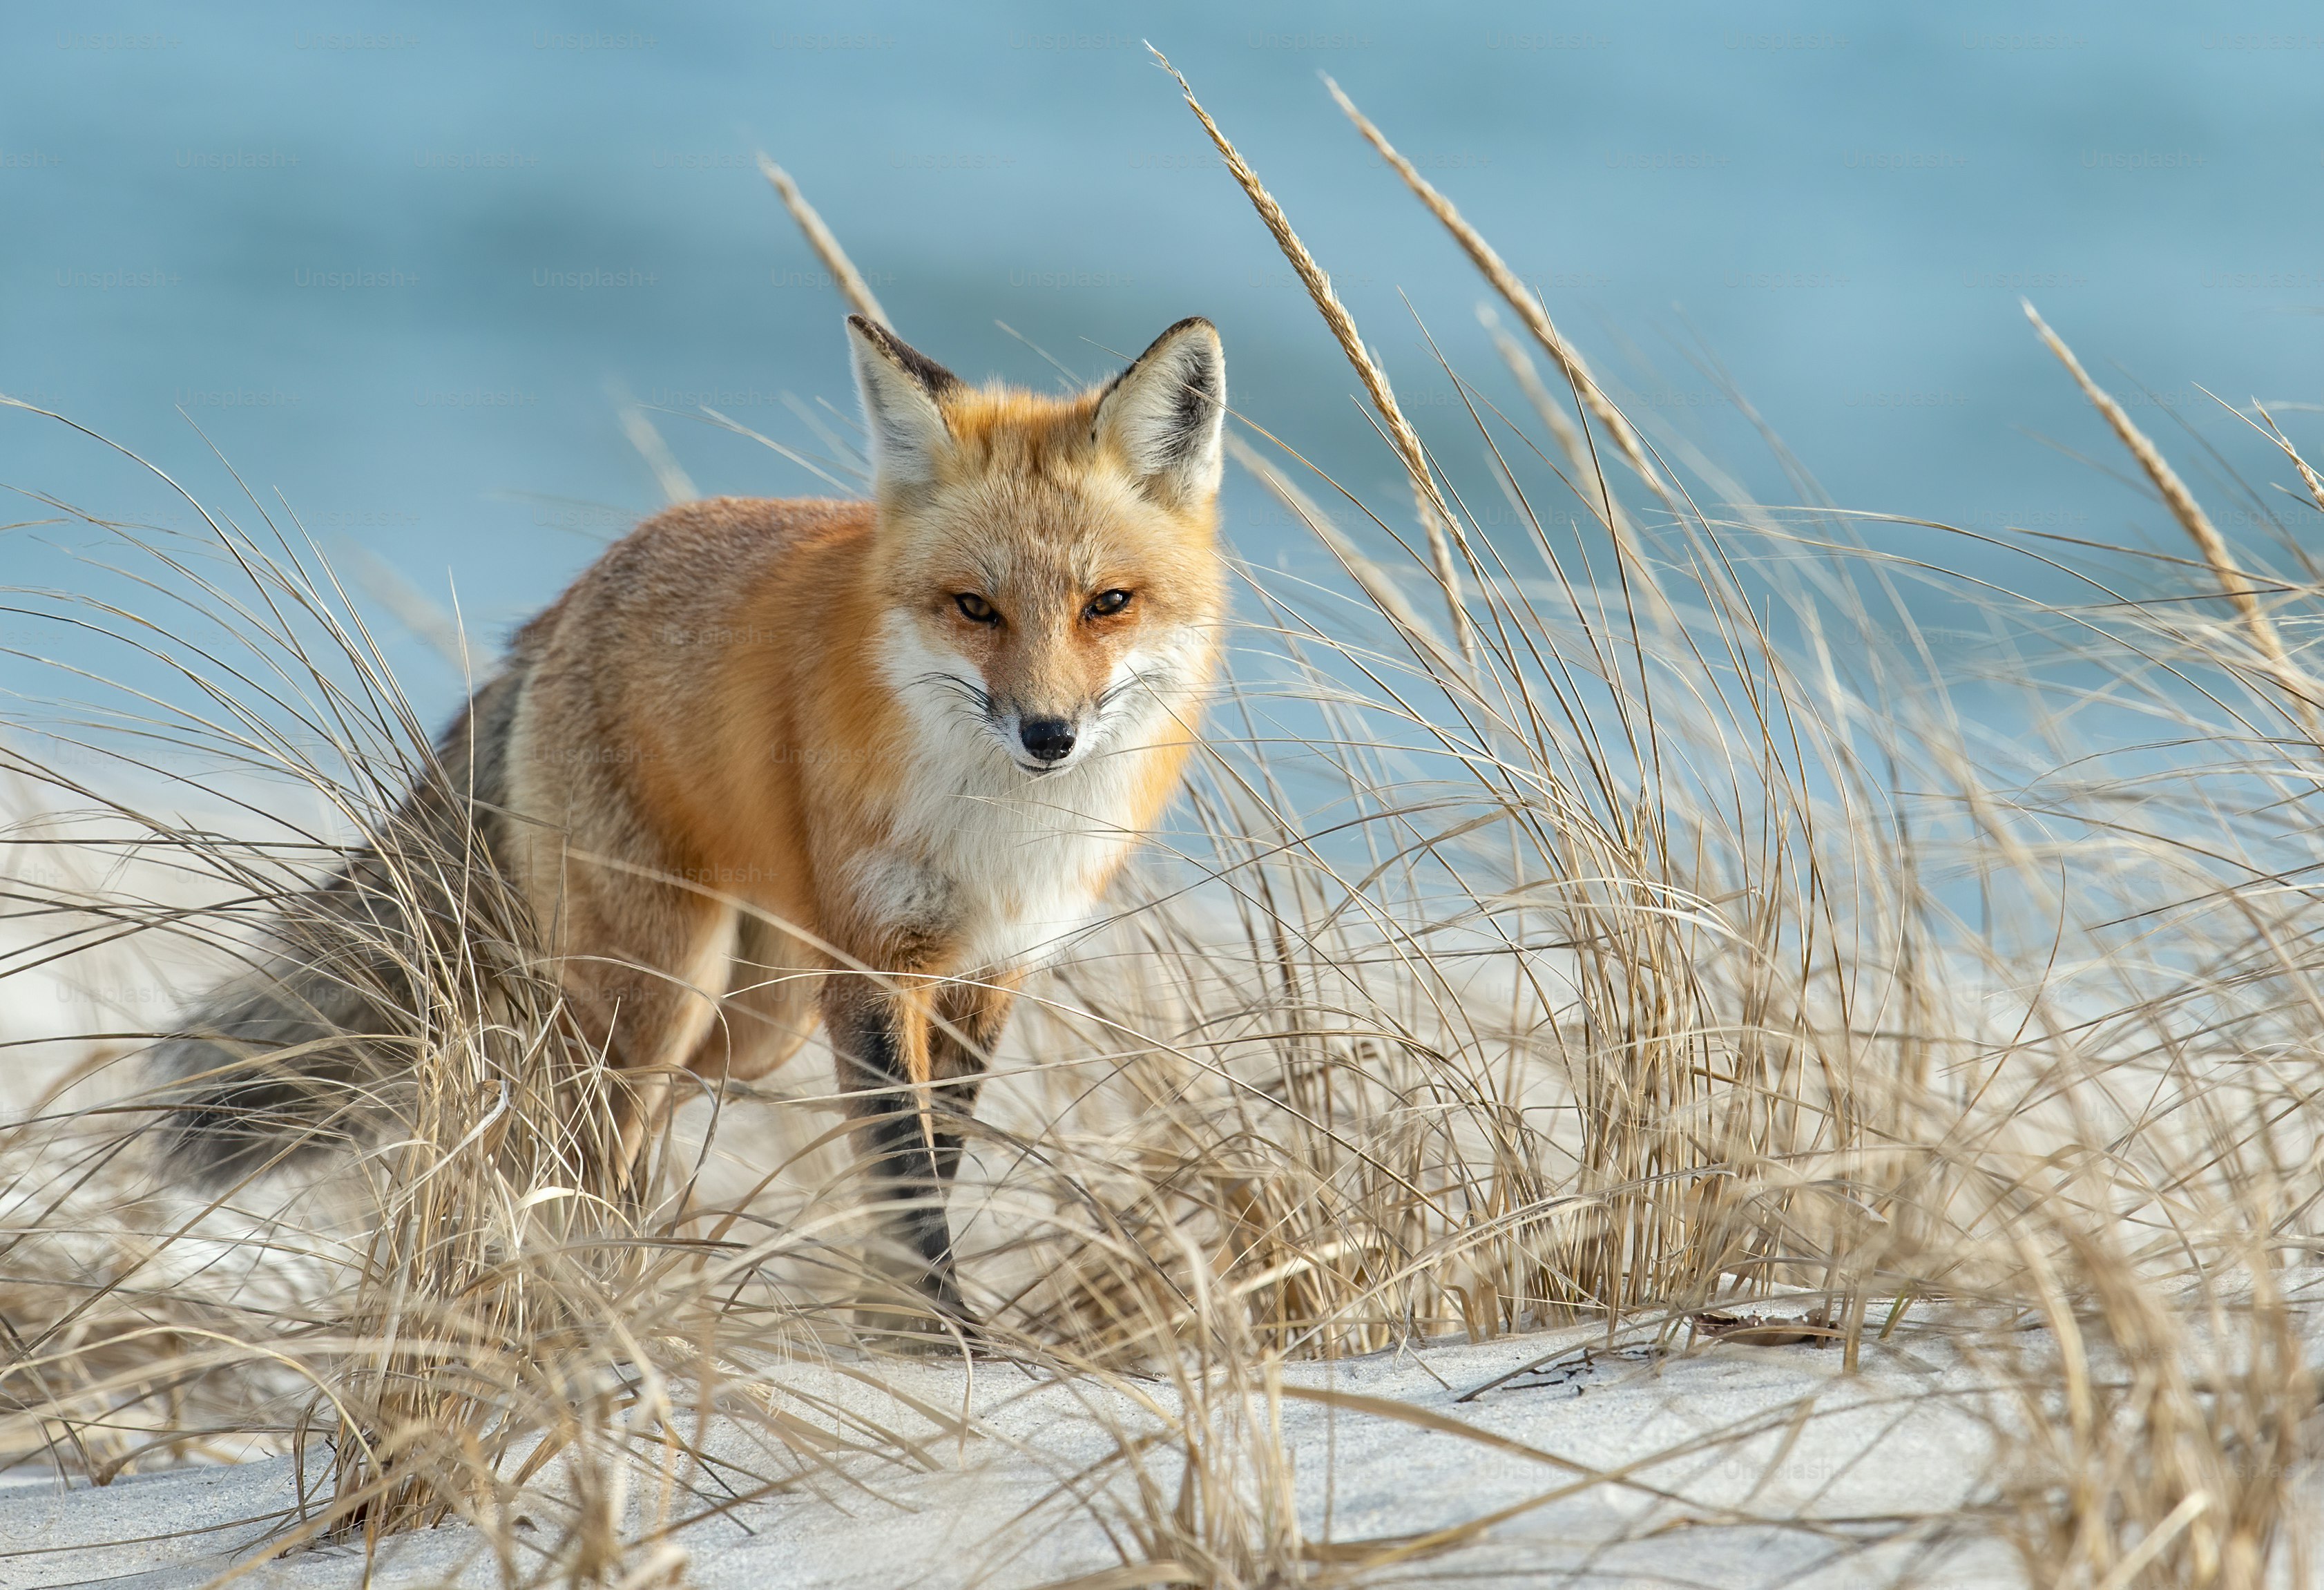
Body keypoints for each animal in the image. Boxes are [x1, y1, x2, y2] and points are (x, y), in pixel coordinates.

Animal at [152, 313, 1229, 1328]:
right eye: (974, 607)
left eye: (1108, 603)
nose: (1048, 734)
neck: (1003, 830)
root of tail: (567, 601)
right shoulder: (877, 968)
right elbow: (906, 1180)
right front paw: (936, 1339)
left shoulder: (988, 970)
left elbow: (934, 1161)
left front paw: (895, 1331)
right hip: (661, 990)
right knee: (569, 1142)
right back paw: (577, 1302)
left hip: (754, 1019)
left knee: (599, 1137)